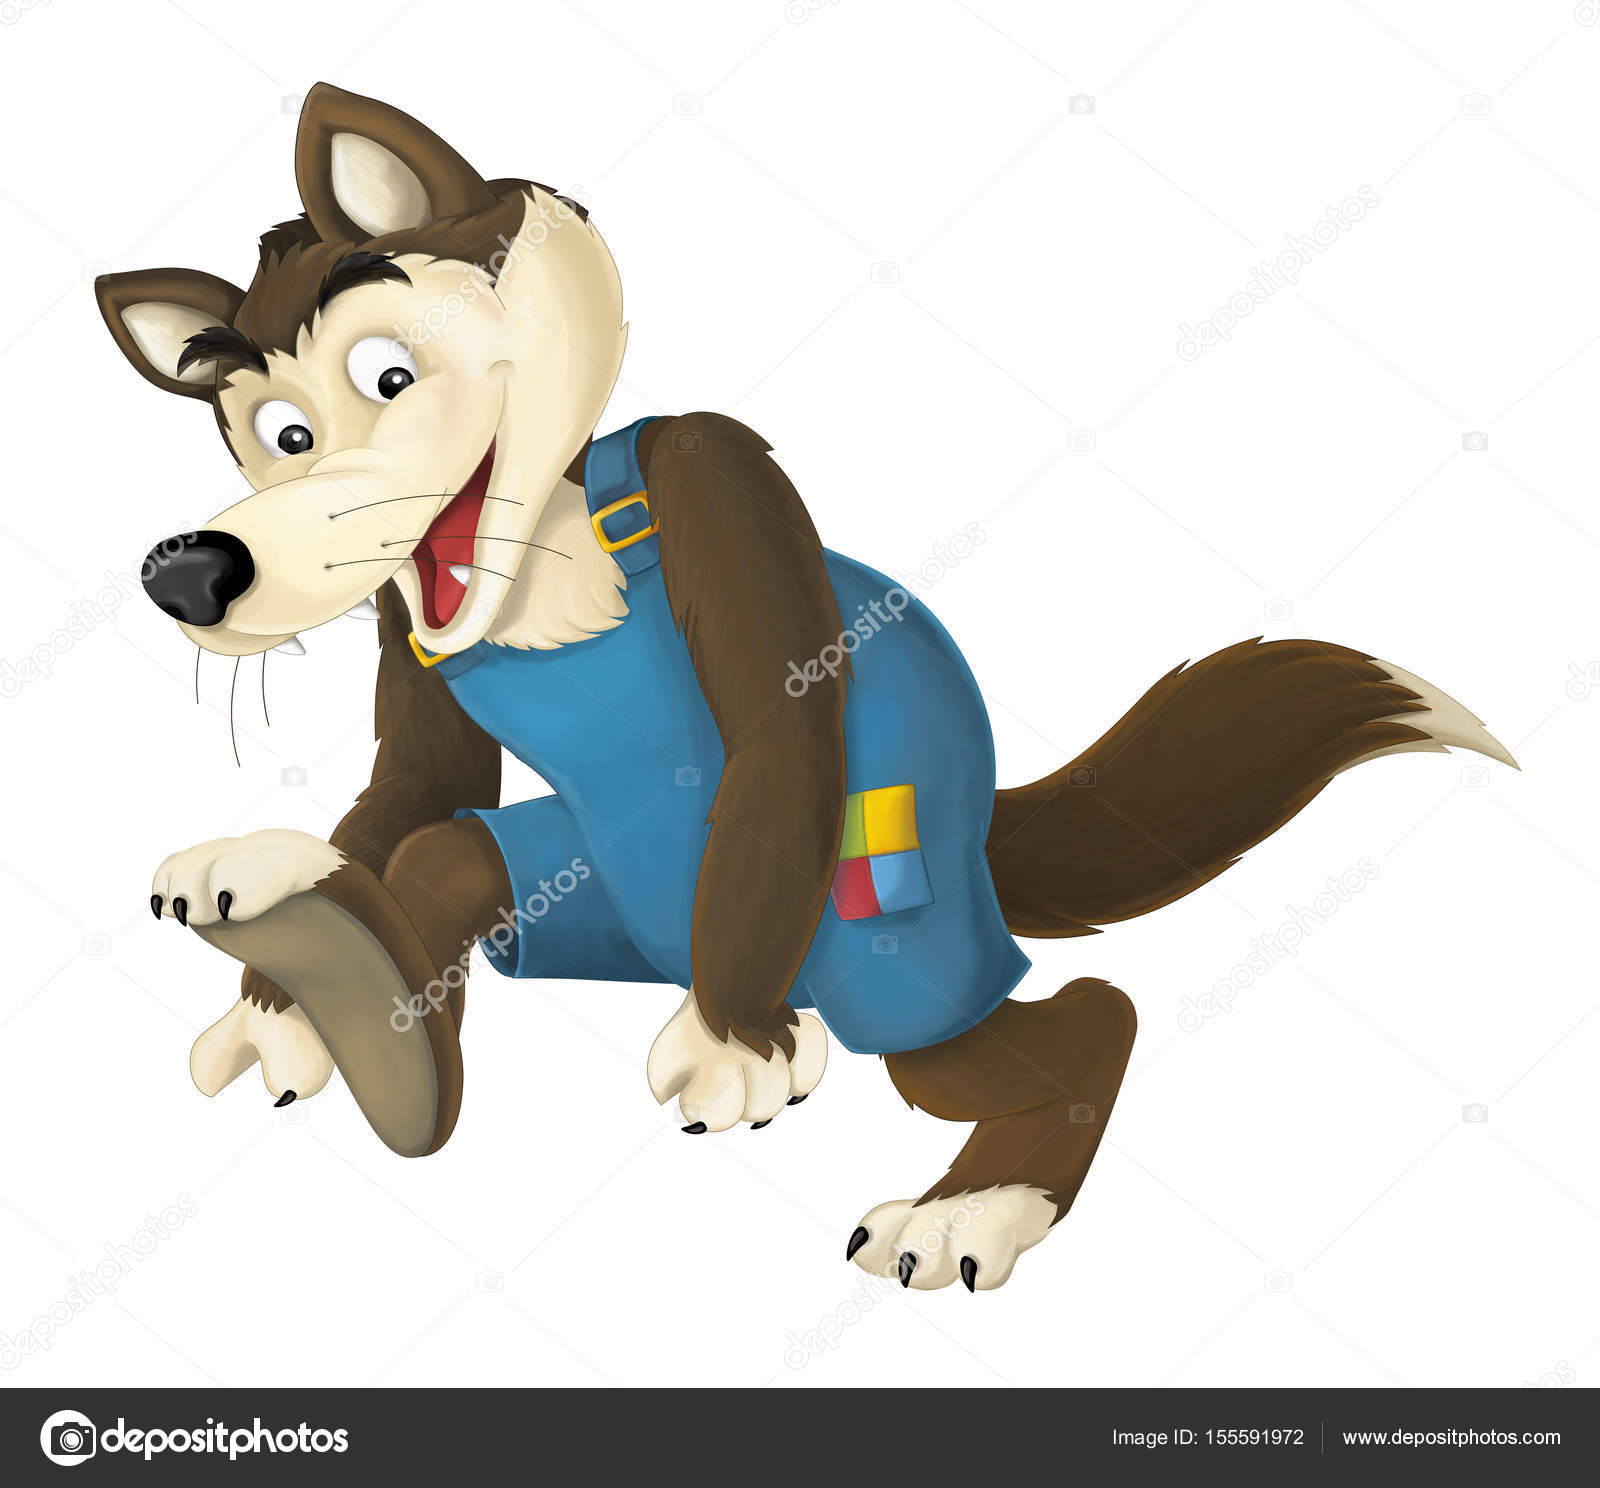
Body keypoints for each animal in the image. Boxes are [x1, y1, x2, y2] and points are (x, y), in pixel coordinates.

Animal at [97, 84, 1516, 1291]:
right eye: (279, 439)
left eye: (388, 377)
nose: (192, 570)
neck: (547, 555)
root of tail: (982, 833)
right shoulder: (415, 634)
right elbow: (415, 786)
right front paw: (281, 963)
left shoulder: (723, 494)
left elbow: (782, 735)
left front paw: (733, 1045)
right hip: (600, 899)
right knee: (453, 857)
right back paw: (342, 974)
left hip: (886, 954)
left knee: (1082, 1020)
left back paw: (968, 1206)